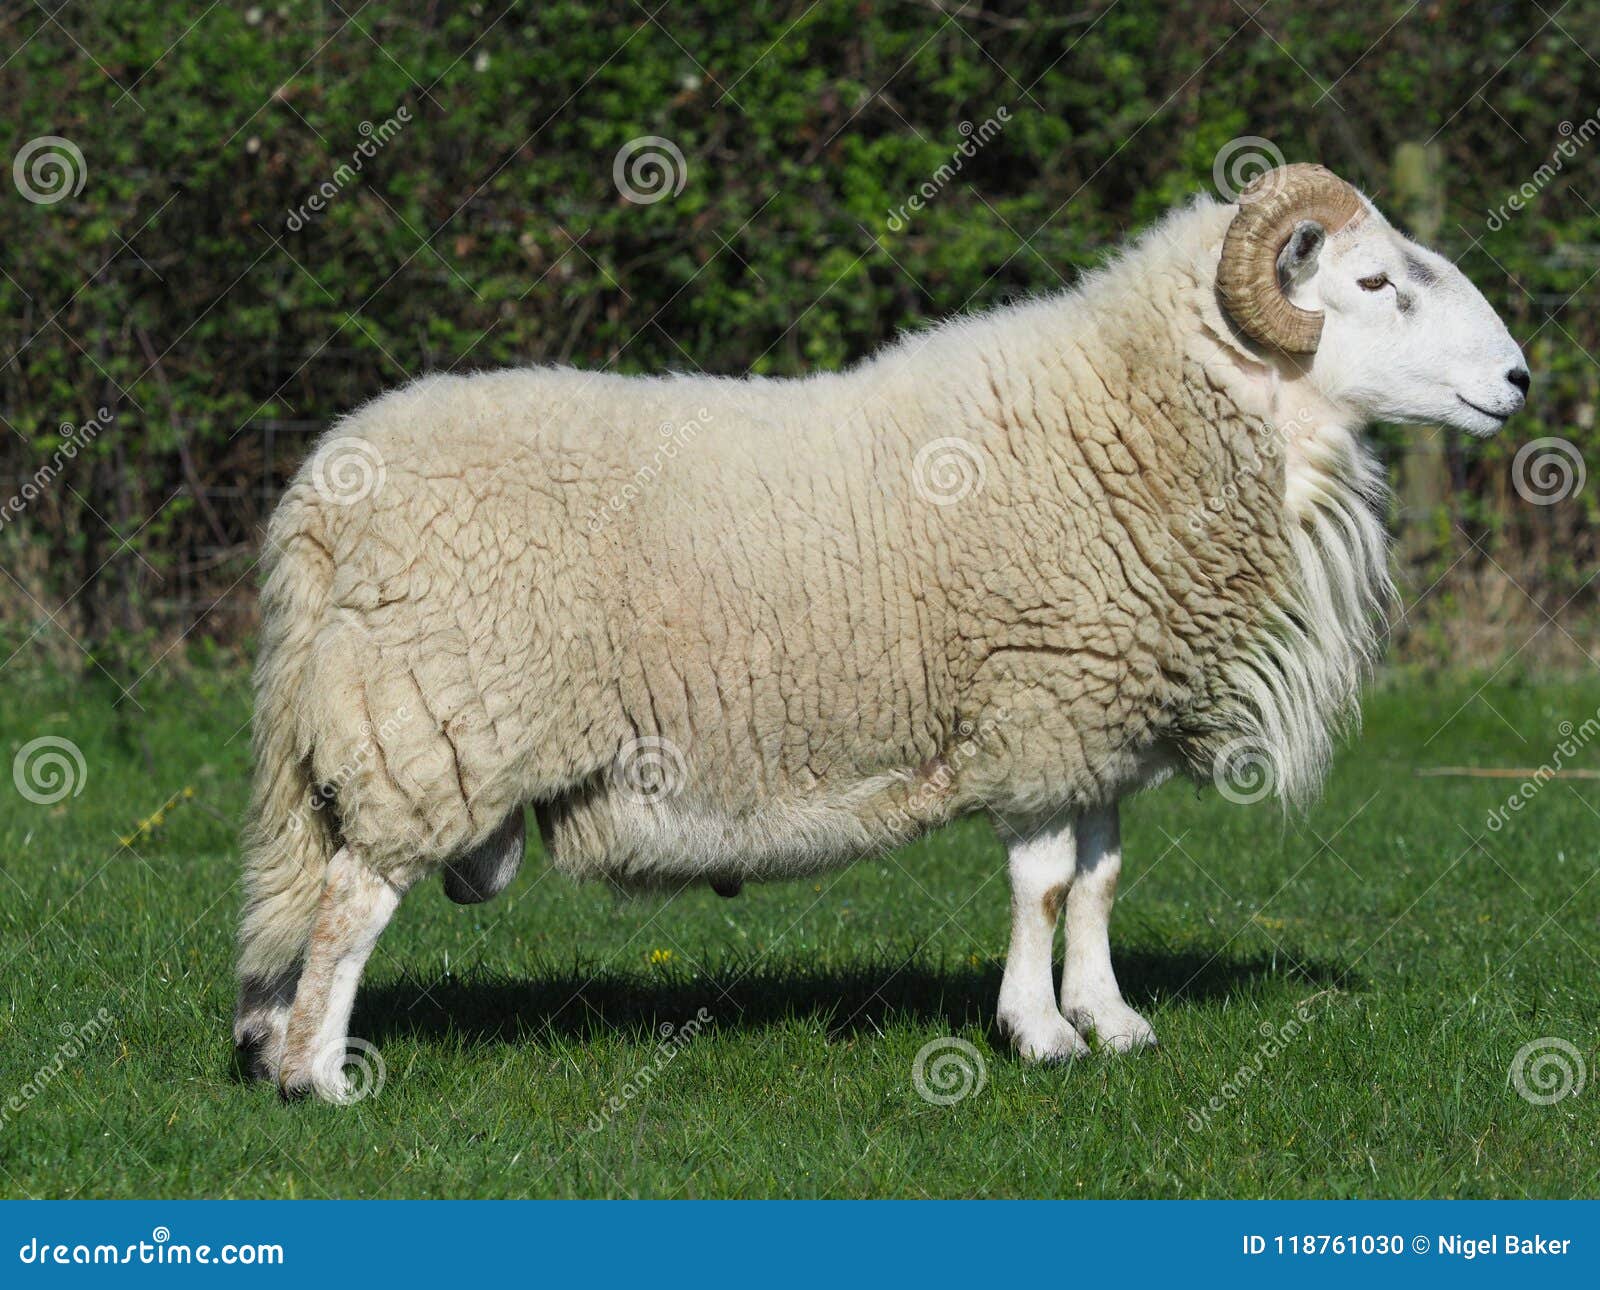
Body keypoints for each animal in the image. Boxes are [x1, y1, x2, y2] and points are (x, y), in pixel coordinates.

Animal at [233, 164, 1528, 1101]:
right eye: (1375, 283)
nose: (1518, 380)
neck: (1131, 419)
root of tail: (318, 500)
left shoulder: (1095, 720)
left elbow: (1102, 878)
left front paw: (1111, 1021)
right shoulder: (1036, 698)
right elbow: (1043, 884)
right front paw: (1039, 1036)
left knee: (304, 895)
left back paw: (270, 1048)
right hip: (432, 727)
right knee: (351, 903)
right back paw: (321, 1082)